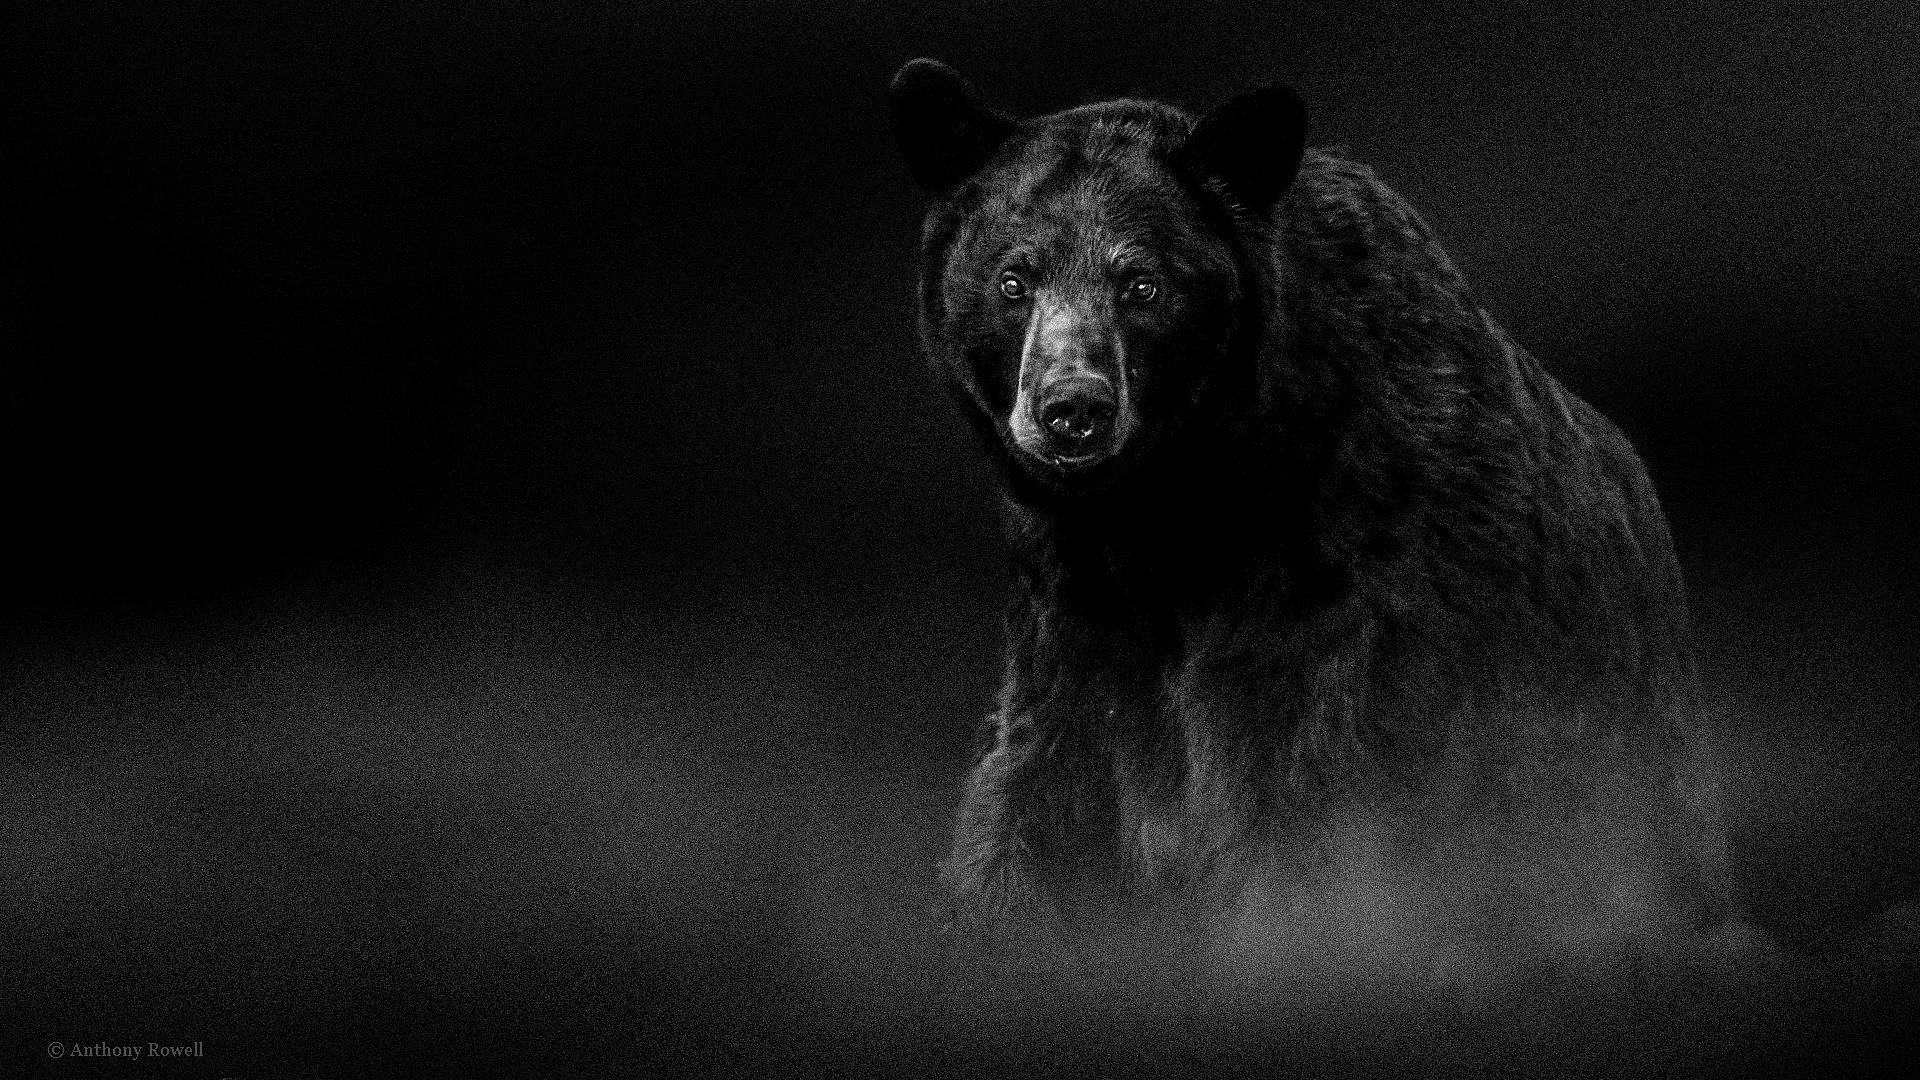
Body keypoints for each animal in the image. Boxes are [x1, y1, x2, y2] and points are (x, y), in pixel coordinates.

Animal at [889, 59, 1734, 973]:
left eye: (1142, 282)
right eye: (1014, 279)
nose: (1071, 407)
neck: (1173, 503)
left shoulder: (1361, 586)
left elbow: (1318, 807)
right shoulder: (1073, 608)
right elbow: (1036, 794)